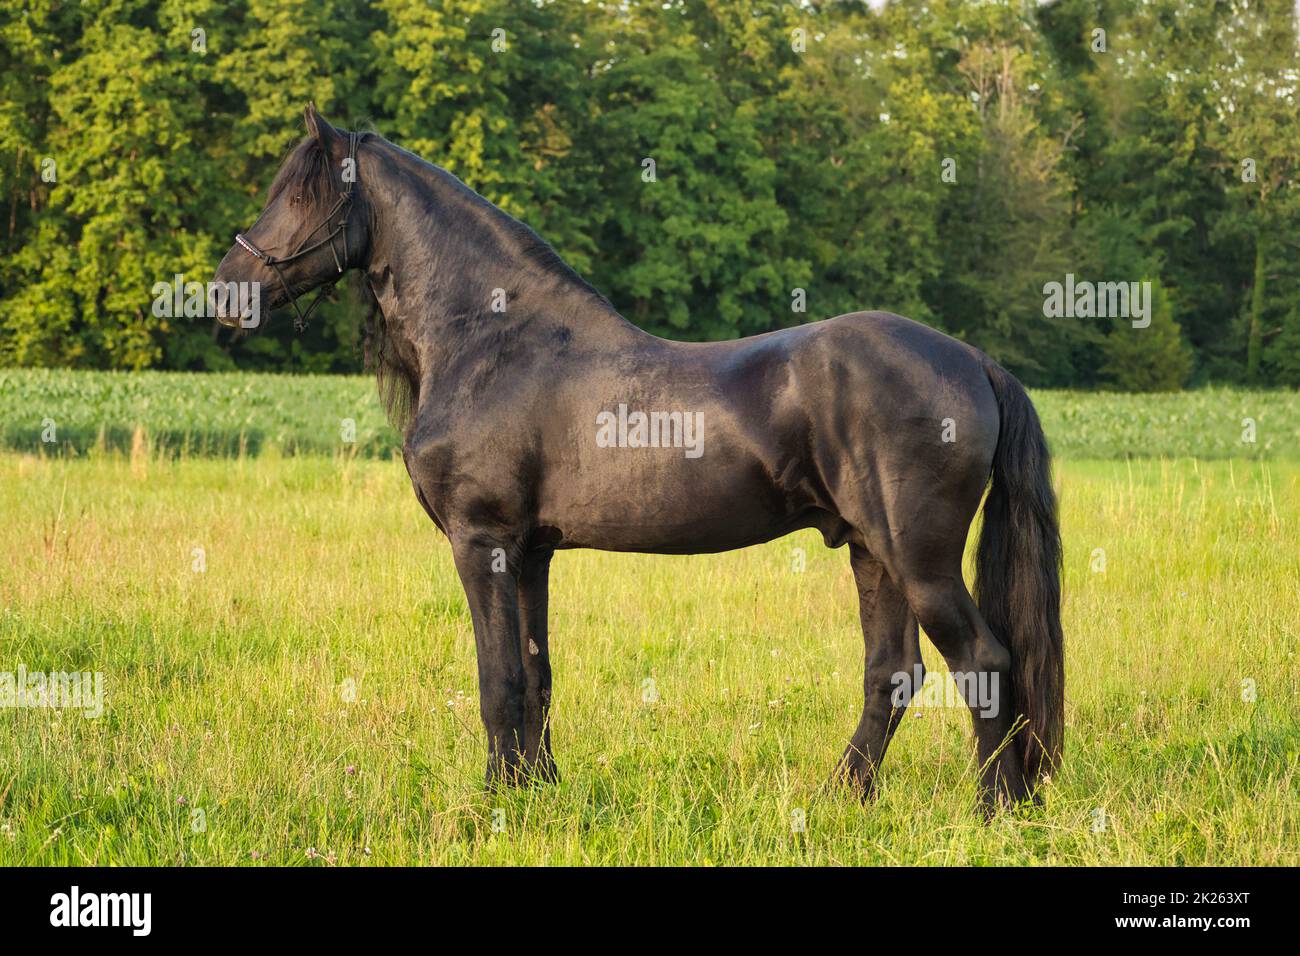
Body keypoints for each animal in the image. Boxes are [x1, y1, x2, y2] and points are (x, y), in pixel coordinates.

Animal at [213, 105, 1063, 814]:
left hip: (919, 559)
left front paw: (495, 805)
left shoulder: (482, 542)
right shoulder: (531, 553)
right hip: (869, 552)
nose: (226, 295)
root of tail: (972, 360)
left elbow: (498, 681)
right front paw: (538, 792)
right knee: (892, 673)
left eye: (301, 195)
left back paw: (996, 809)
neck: (495, 342)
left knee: (982, 658)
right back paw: (842, 799)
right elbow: (536, 675)